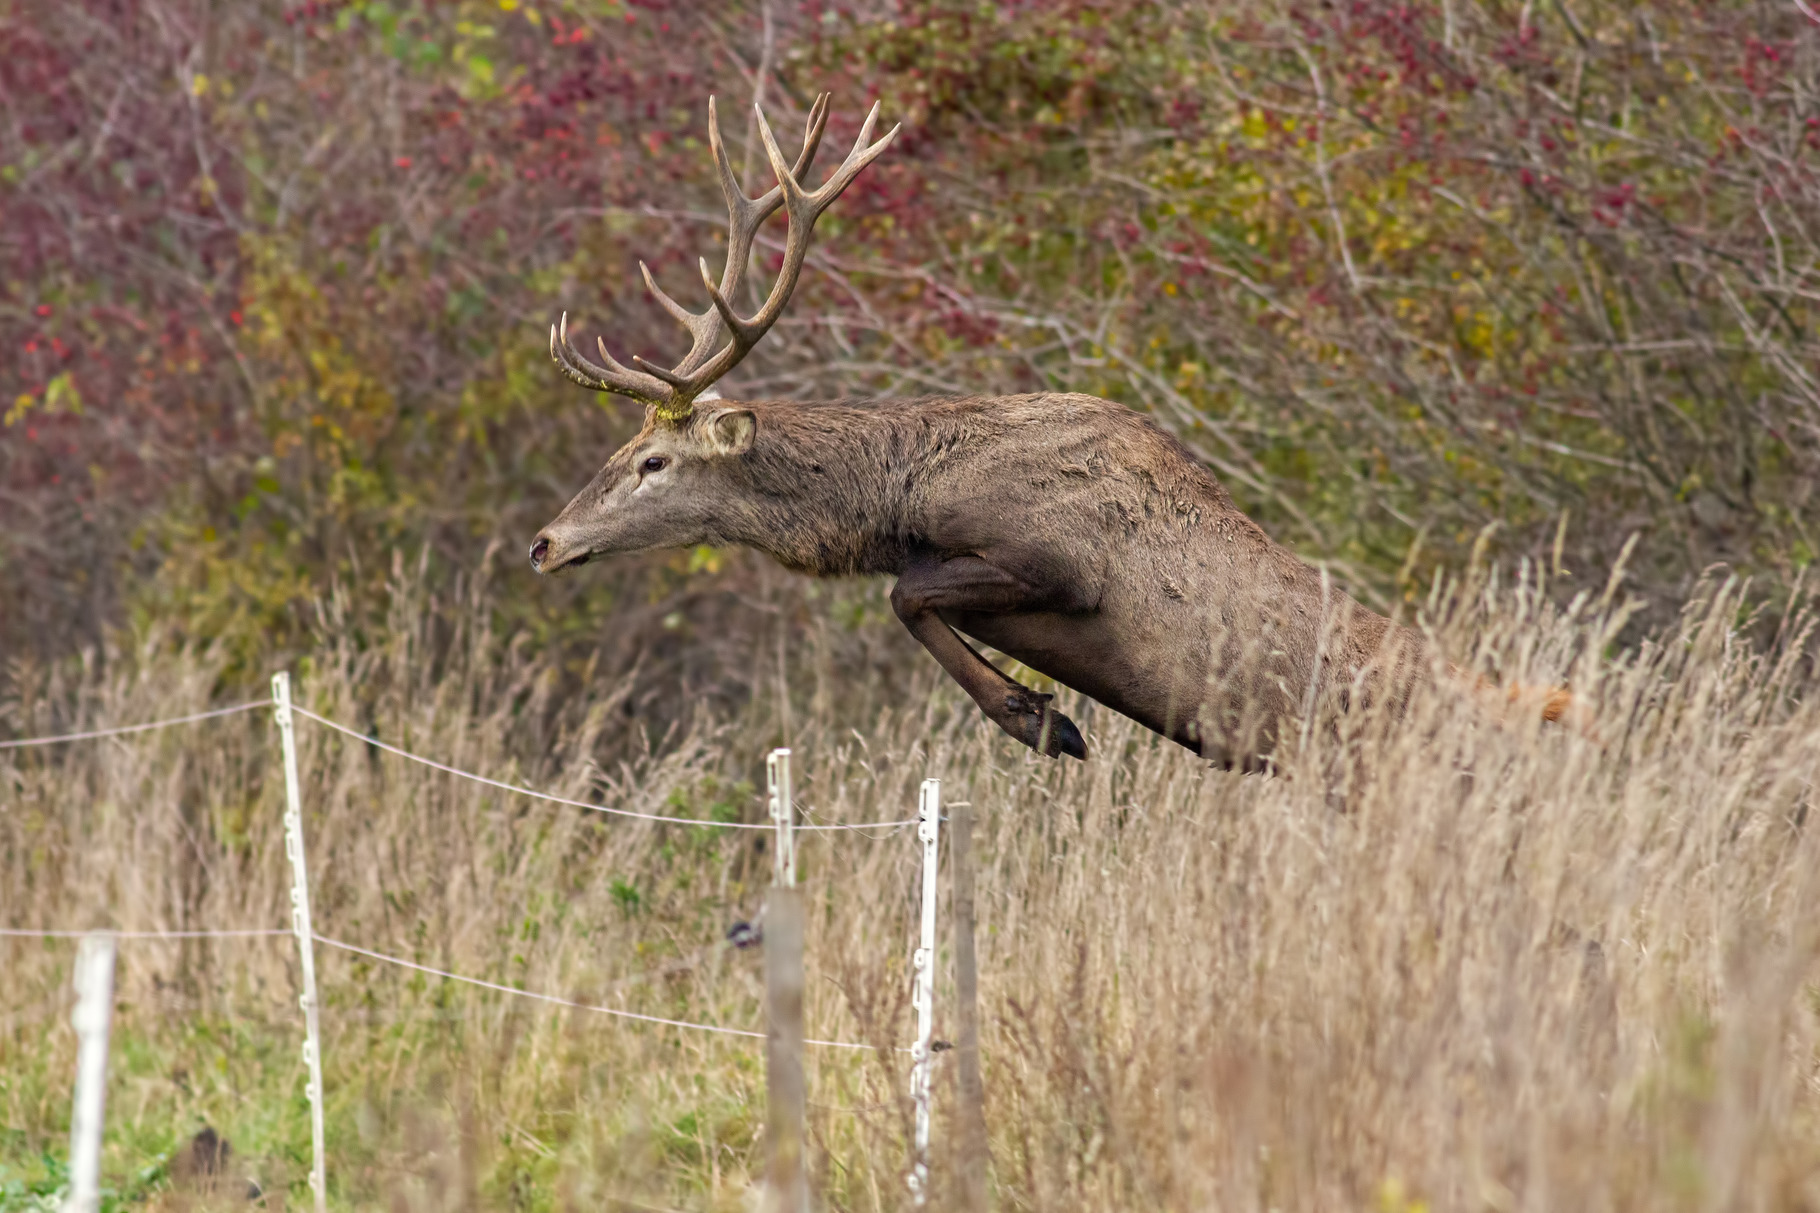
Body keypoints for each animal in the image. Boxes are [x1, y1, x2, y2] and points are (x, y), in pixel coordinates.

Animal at [529, 94, 1561, 768]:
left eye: (652, 460)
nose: (543, 542)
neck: (910, 497)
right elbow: (911, 594)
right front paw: (1041, 714)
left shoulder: (1059, 557)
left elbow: (906, 593)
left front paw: (1041, 719)